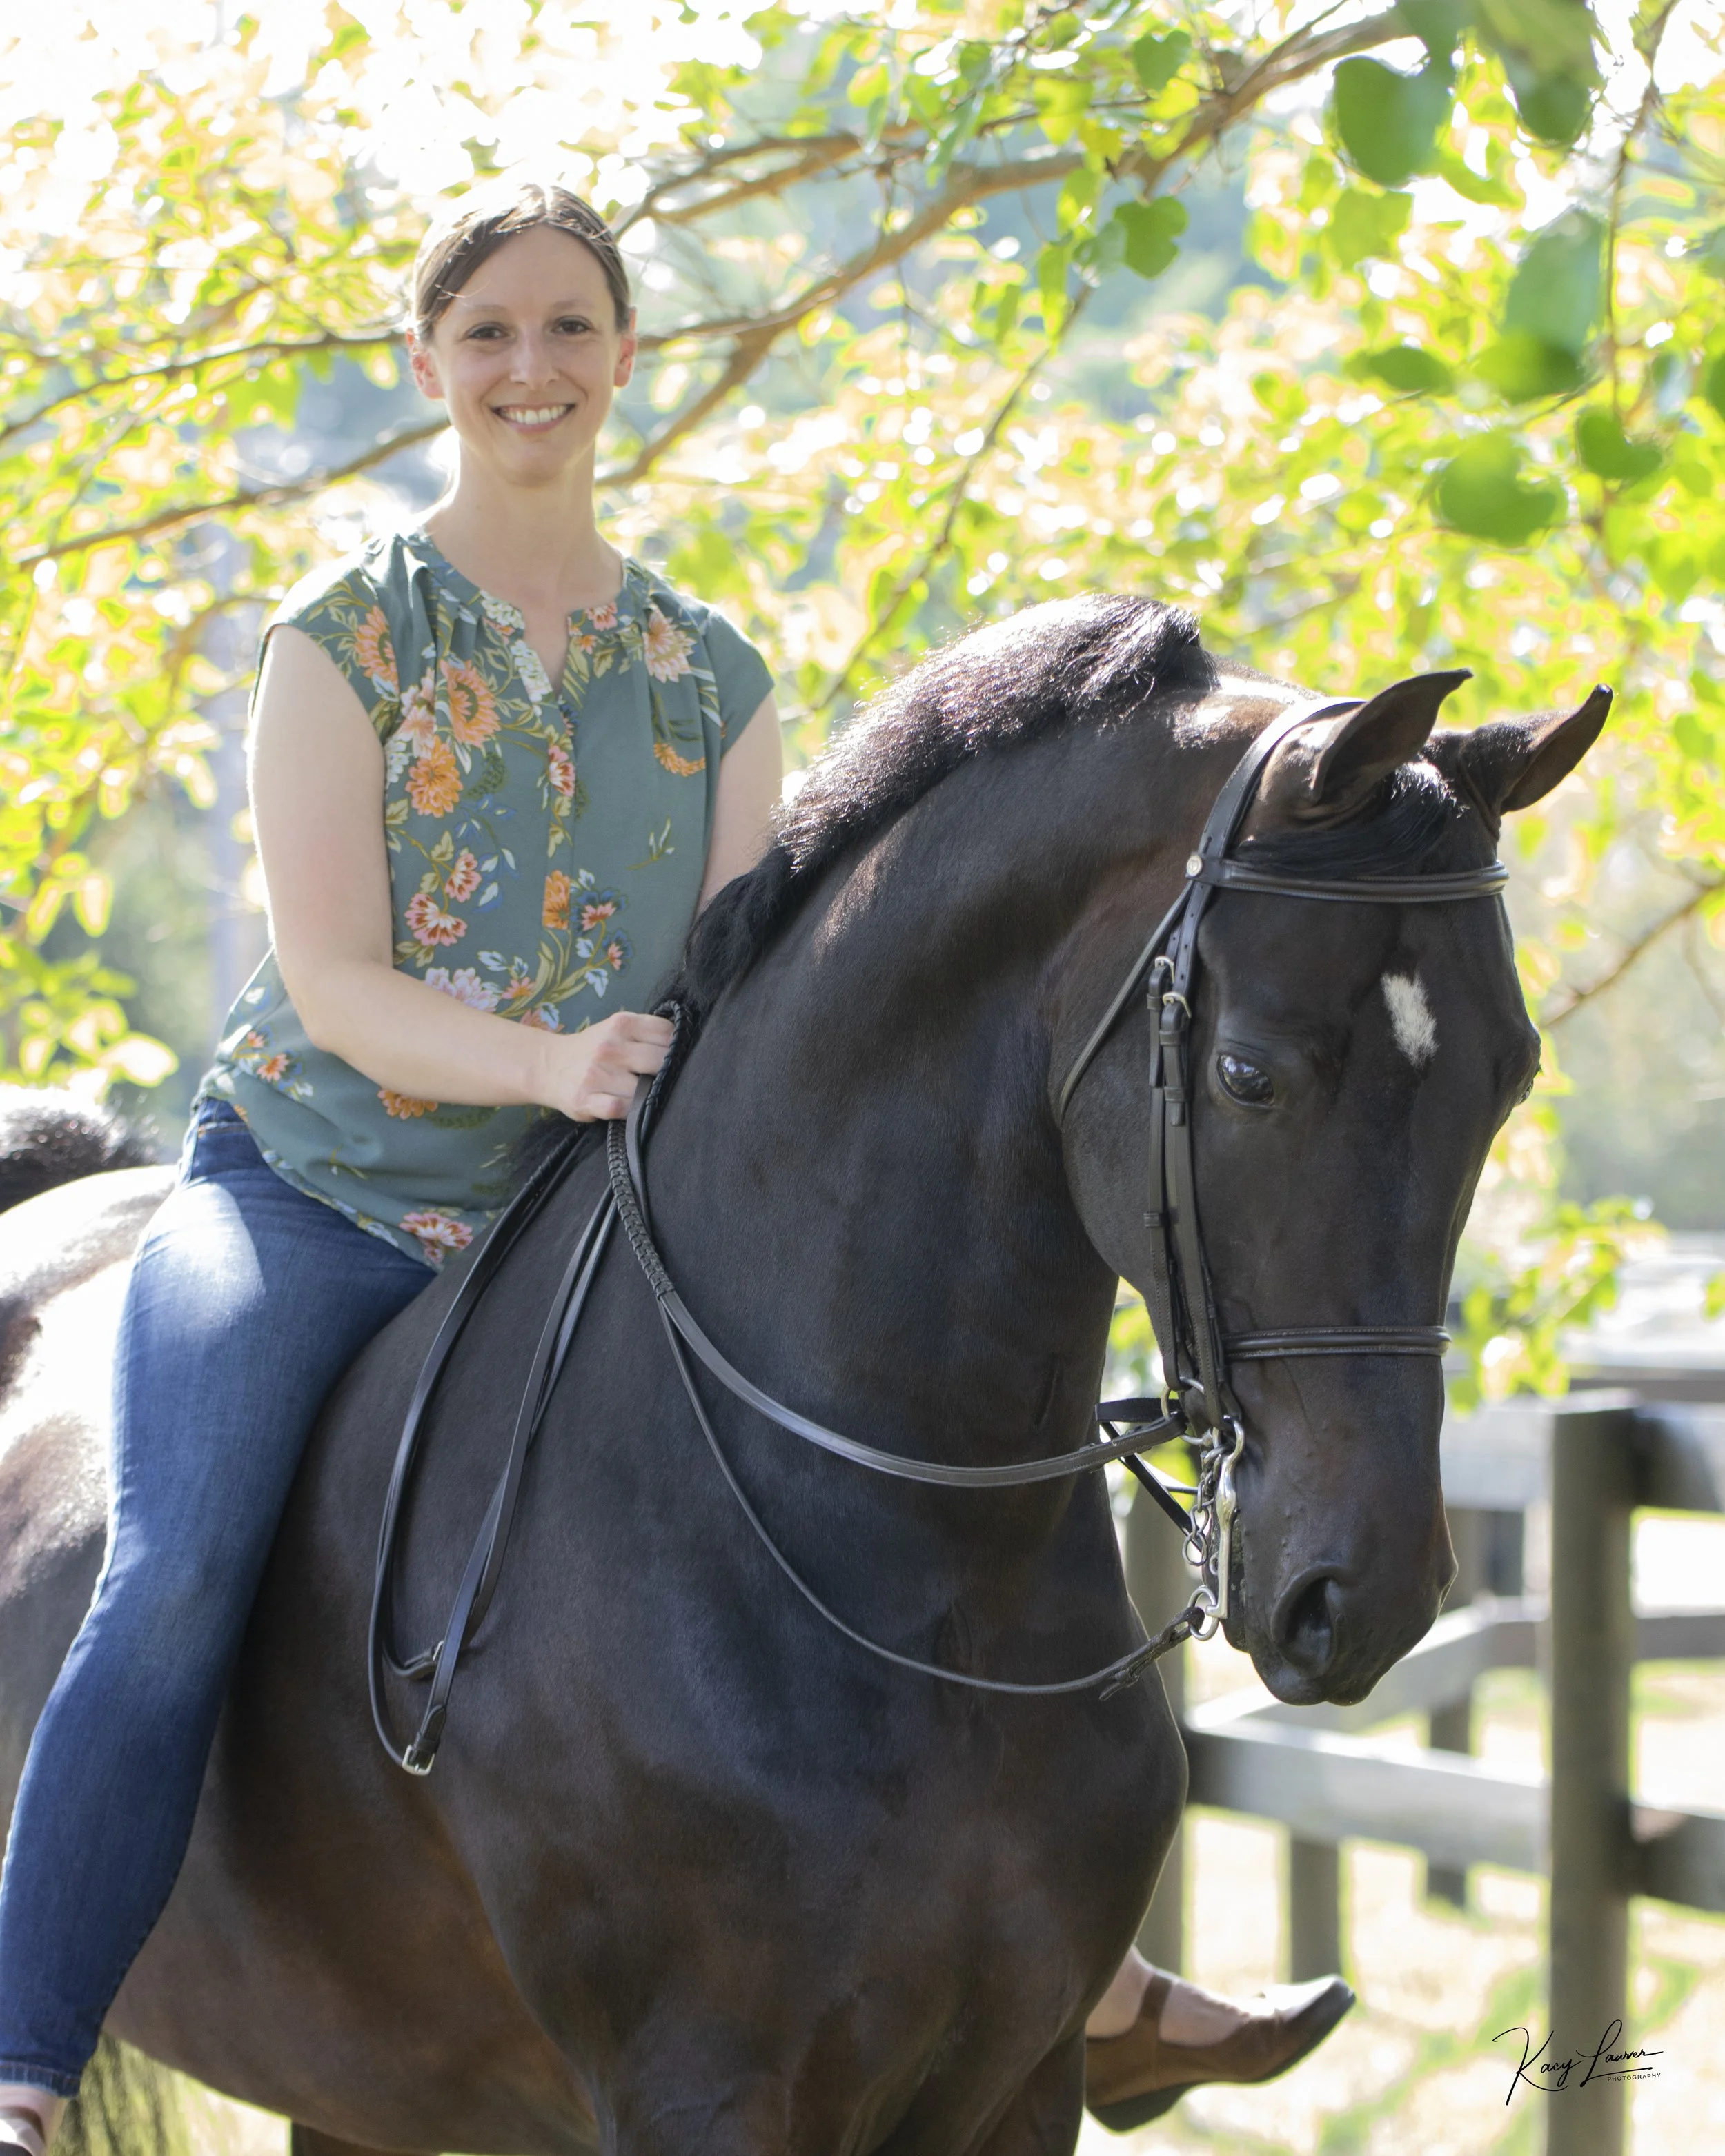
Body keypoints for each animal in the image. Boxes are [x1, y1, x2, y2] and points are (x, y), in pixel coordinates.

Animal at [0, 595, 1605, 2156]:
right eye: (1248, 1074)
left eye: (1511, 1076)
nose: (1366, 1593)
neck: (891, 1550)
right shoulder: (702, 2093)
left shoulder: (1020, 2084)